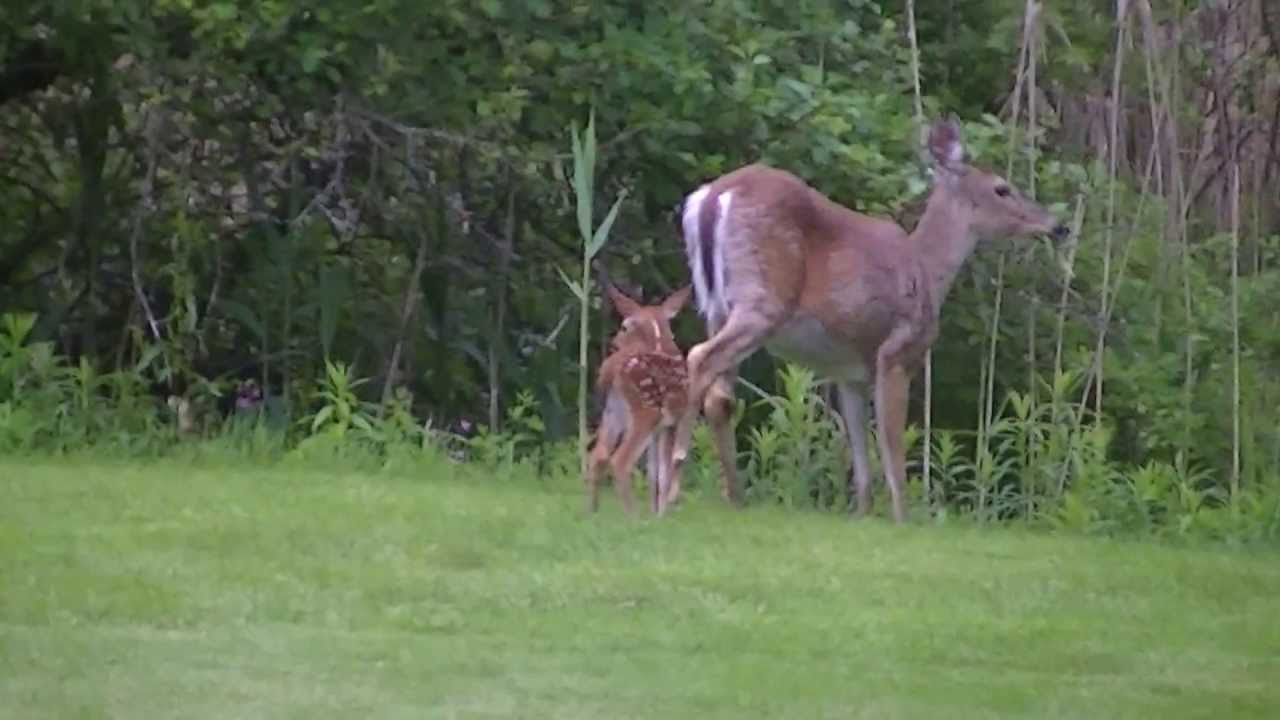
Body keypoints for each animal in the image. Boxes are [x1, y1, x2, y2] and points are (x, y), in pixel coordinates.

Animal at [585, 283, 693, 515]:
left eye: (624, 327)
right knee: (620, 460)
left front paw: (655, 511)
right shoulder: (671, 421)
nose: (614, 342)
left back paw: (592, 511)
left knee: (598, 455)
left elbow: (653, 472)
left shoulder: (658, 428)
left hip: (614, 410)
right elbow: (664, 469)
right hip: (646, 410)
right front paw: (661, 514)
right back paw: (632, 516)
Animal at [667, 117, 1069, 524]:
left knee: (720, 395)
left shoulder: (849, 372)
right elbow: (892, 451)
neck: (927, 270)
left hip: (715, 307)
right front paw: (903, 519)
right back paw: (670, 488)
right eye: (1002, 188)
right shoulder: (896, 351)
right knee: (700, 358)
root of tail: (715, 196)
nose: (1058, 225)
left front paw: (861, 514)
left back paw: (731, 497)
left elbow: (861, 457)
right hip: (763, 299)